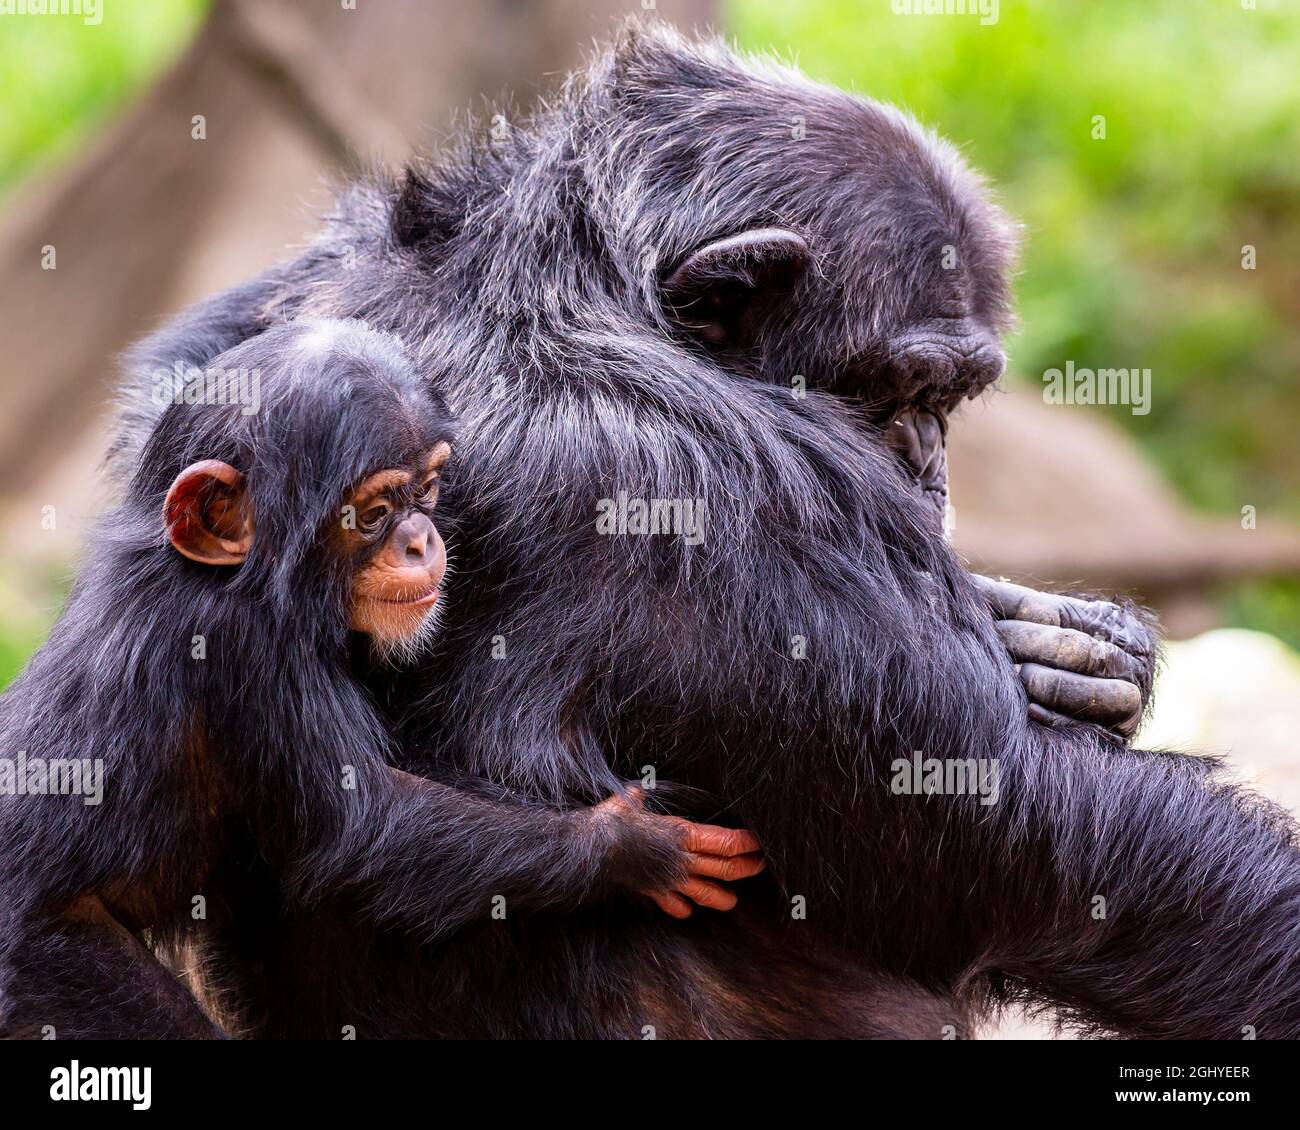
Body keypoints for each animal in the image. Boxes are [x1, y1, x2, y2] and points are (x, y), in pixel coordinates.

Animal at [0, 317, 763, 1039]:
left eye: (427, 489)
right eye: (372, 513)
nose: (420, 540)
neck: (230, 576)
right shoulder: (245, 652)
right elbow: (365, 822)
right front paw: (636, 846)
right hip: (55, 966)